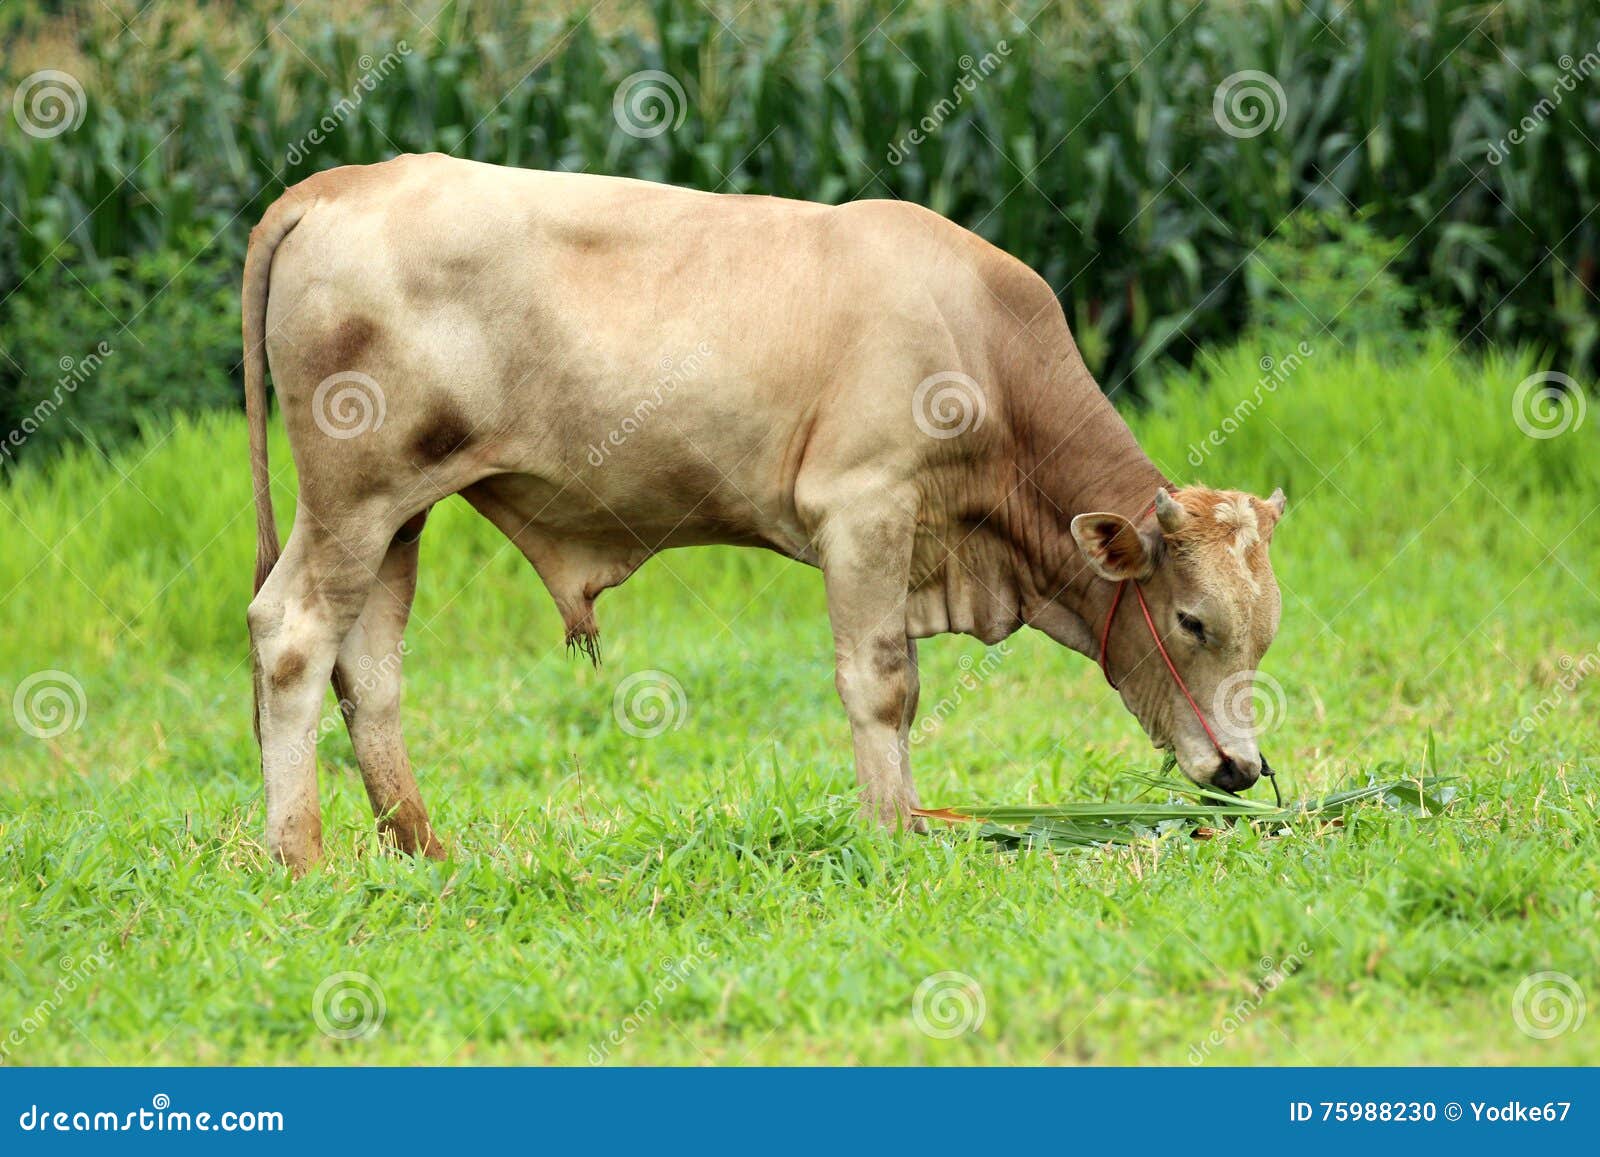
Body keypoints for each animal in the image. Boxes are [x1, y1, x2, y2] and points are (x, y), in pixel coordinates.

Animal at [242, 153, 1287, 872]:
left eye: (1261, 635)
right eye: (1193, 621)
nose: (1243, 770)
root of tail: (341, 181)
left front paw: (911, 821)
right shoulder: (863, 508)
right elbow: (882, 686)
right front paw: (889, 836)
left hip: (398, 515)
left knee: (369, 669)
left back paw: (422, 848)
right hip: (352, 501)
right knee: (291, 635)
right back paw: (303, 857)